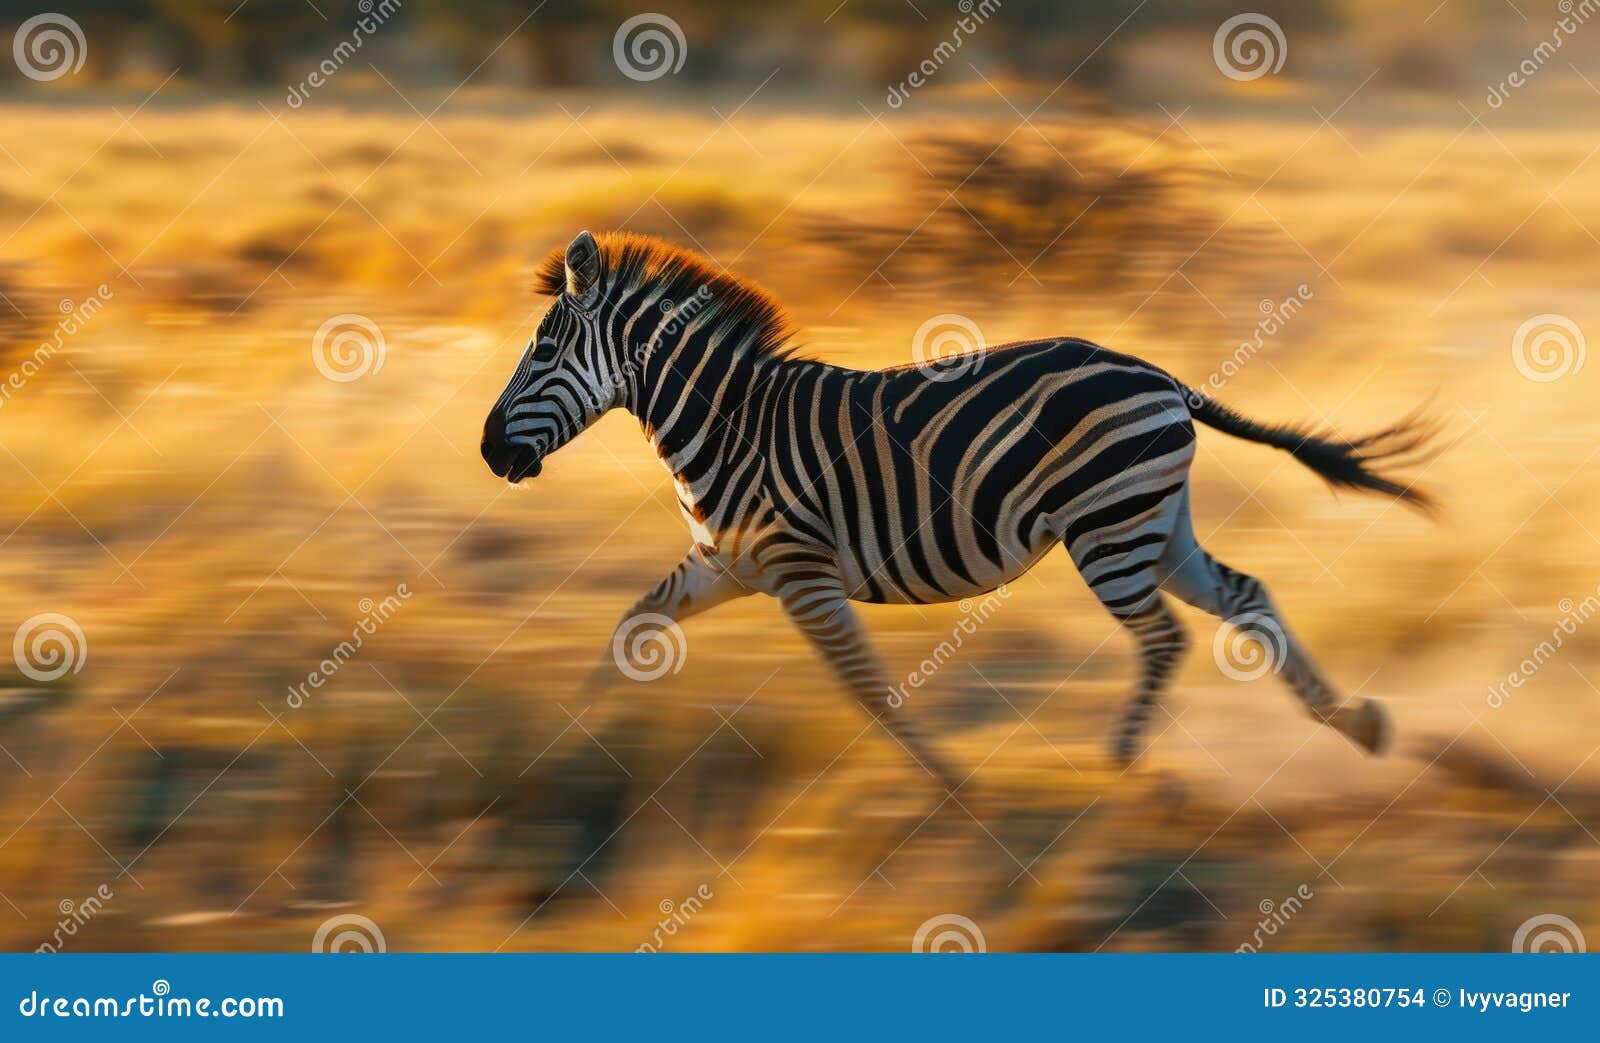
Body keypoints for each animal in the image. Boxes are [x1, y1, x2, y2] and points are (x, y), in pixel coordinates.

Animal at [481, 231, 1437, 790]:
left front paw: (948, 782)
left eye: (544, 351)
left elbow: (866, 686)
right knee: (1246, 595)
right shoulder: (727, 564)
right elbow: (630, 627)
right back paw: (1355, 723)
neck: (728, 422)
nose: (490, 451)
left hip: (1109, 529)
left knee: (1166, 636)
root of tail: (1163, 375)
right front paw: (570, 742)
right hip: (1159, 524)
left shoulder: (801, 573)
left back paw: (1125, 761)